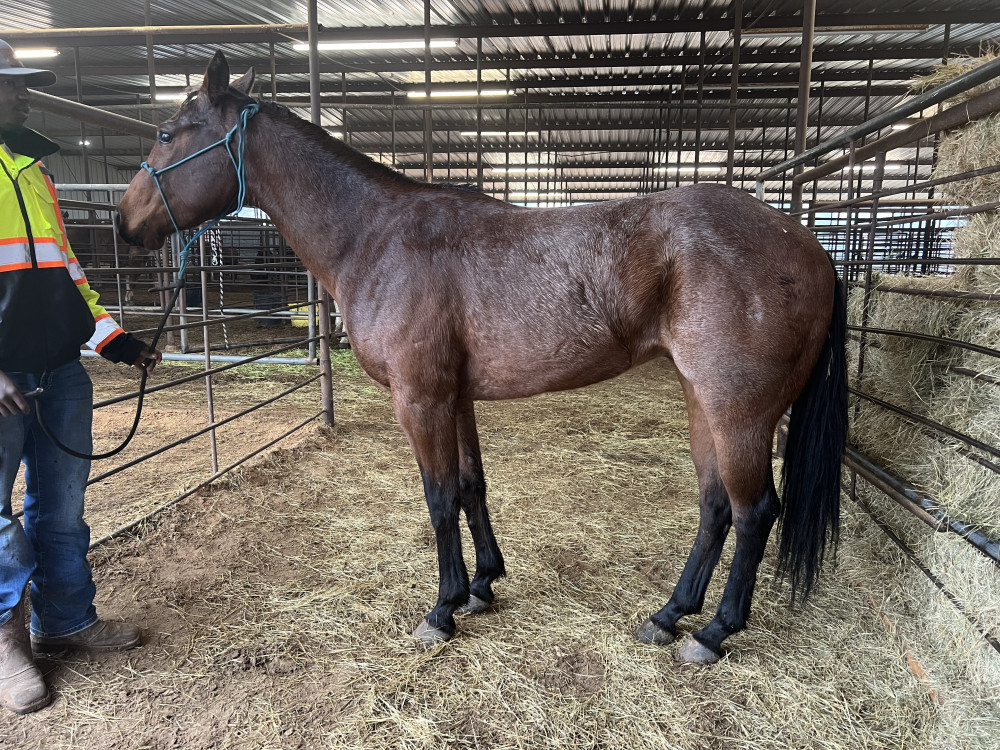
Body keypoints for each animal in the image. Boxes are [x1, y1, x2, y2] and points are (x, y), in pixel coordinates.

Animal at [116, 52, 847, 665]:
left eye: (167, 134)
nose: (125, 224)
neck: (375, 236)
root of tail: (808, 246)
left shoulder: (420, 398)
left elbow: (439, 498)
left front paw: (441, 609)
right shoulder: (455, 396)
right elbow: (472, 486)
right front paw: (482, 587)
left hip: (739, 412)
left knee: (754, 512)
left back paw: (714, 632)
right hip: (703, 402)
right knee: (715, 506)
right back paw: (670, 615)